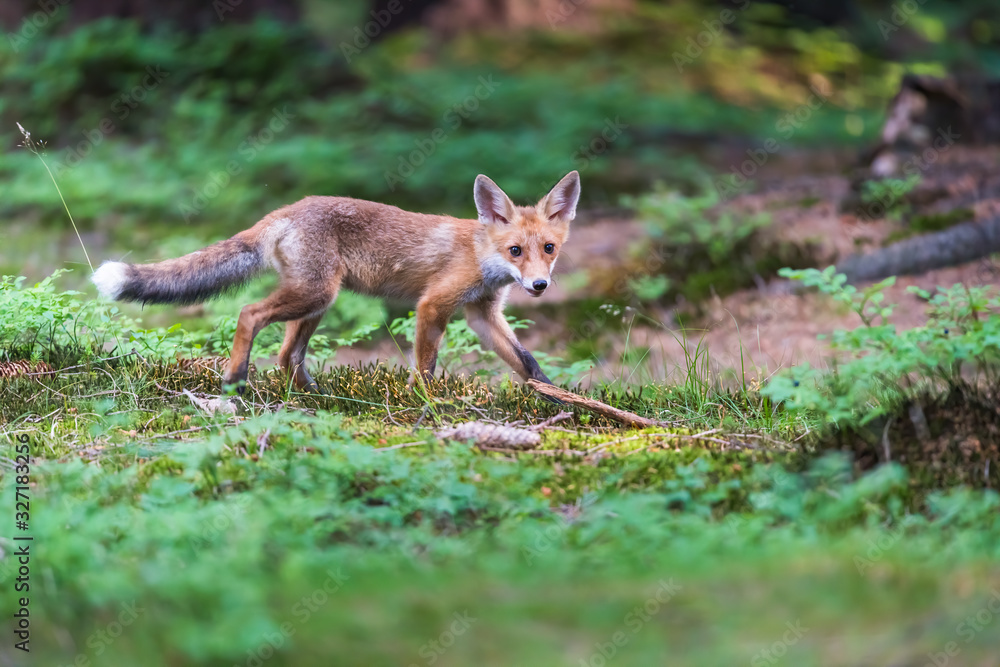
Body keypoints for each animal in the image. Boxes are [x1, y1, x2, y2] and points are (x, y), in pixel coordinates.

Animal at [91, 170, 581, 393]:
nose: (539, 286)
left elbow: (527, 362)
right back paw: (235, 377)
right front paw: (424, 403)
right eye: (515, 250)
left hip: (317, 302)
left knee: (287, 355)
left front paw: (556, 399)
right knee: (249, 314)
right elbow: (425, 366)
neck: (481, 257)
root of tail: (287, 209)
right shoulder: (433, 305)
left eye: (548, 249)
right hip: (315, 294)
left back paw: (316, 395)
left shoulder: (482, 313)